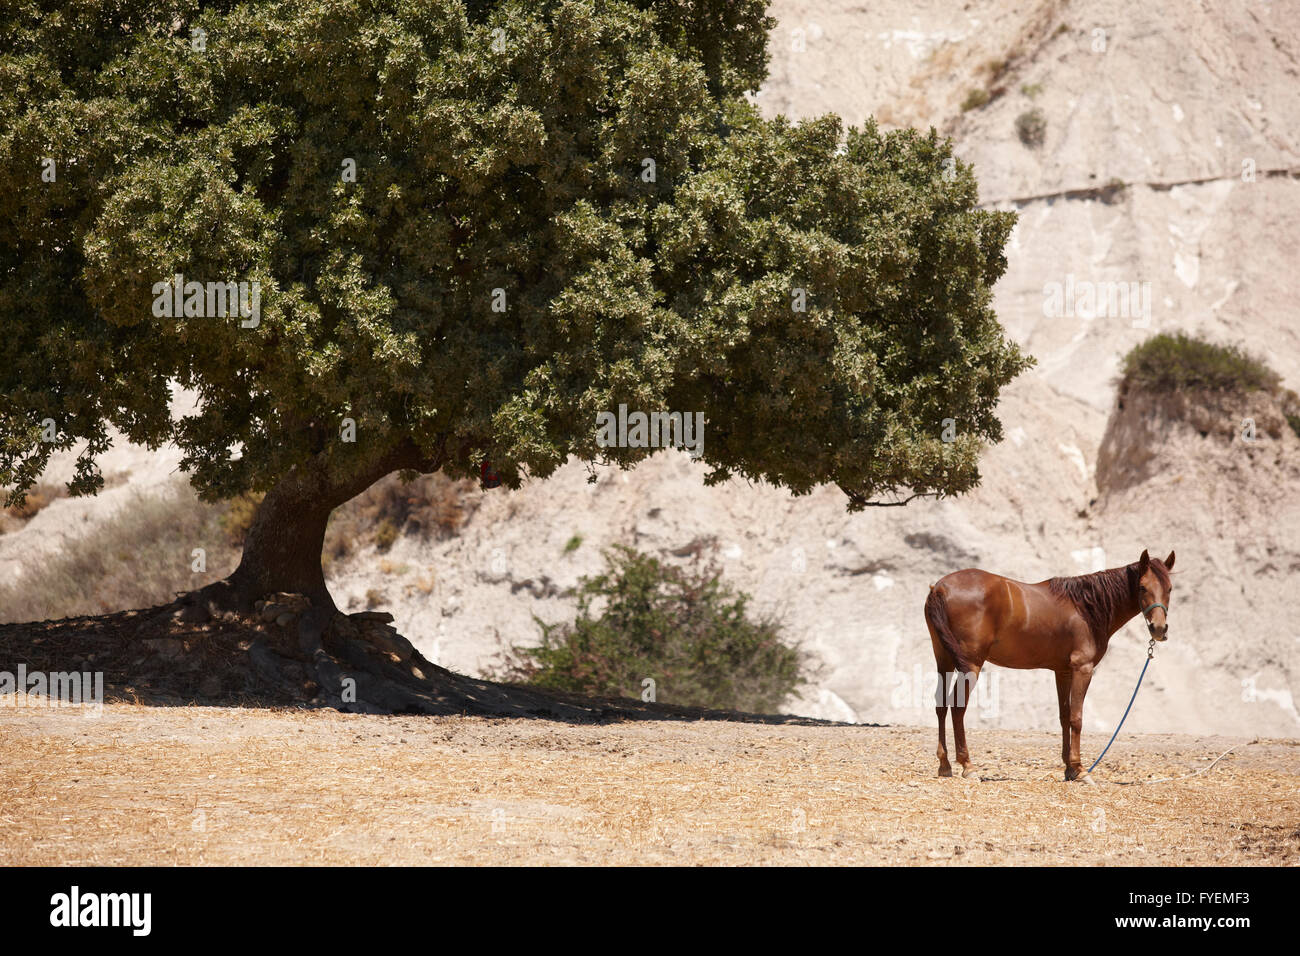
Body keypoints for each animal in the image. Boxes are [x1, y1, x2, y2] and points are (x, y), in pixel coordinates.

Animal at [924, 549, 1174, 784]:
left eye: (1170, 589)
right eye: (1142, 587)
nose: (1159, 629)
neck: (1086, 609)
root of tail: (940, 588)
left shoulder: (1062, 672)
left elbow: (1064, 716)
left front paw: (1069, 769)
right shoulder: (1083, 669)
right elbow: (1076, 718)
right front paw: (1081, 770)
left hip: (944, 660)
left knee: (940, 706)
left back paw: (945, 765)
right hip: (970, 666)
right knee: (957, 709)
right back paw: (968, 766)